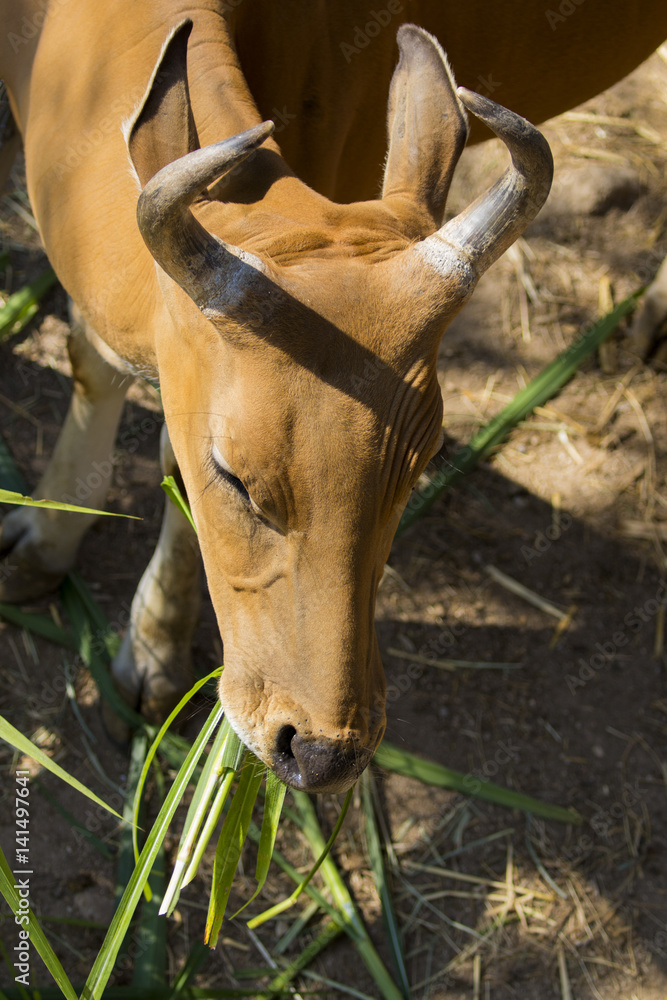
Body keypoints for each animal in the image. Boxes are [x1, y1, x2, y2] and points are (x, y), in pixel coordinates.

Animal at [0, 1, 665, 793]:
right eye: (236, 481)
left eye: (417, 467)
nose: (322, 752)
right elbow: (95, 365)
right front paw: (44, 540)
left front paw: (155, 656)